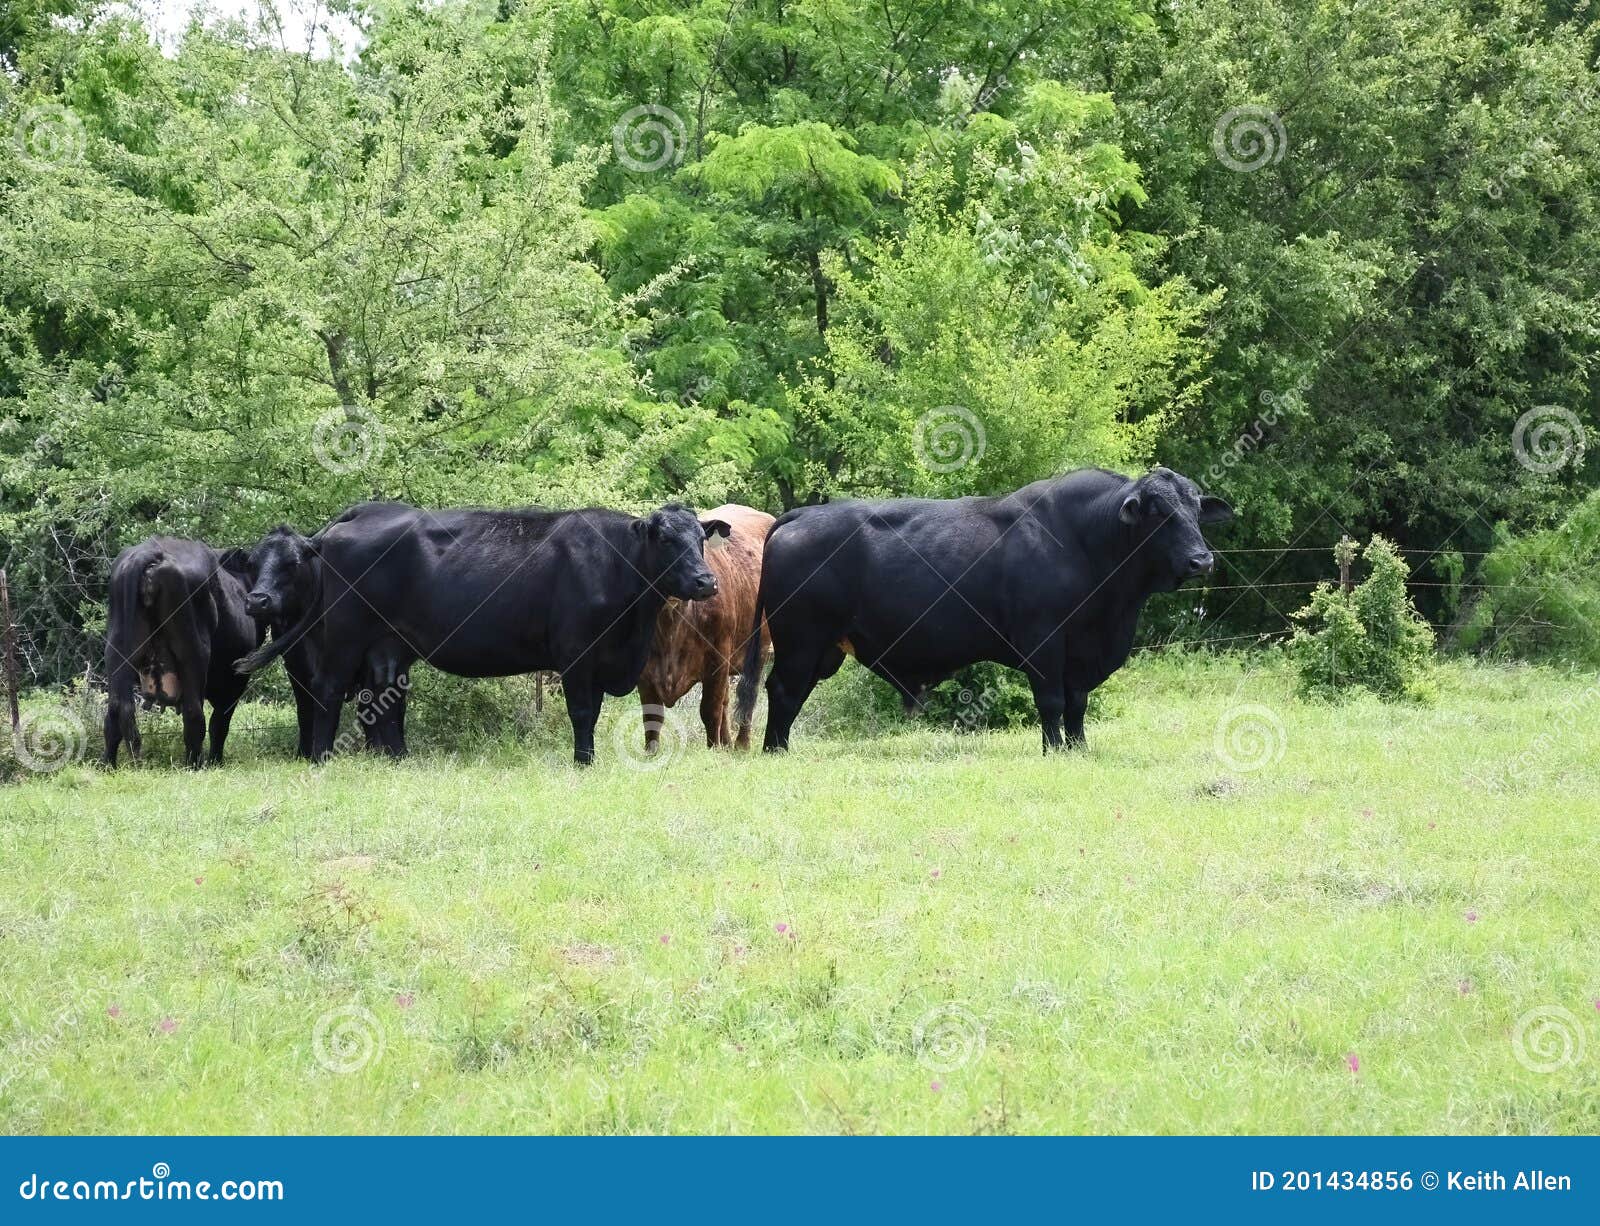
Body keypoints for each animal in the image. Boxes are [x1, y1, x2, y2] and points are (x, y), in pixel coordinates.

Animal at [102, 537, 263, 768]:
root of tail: (152, 553)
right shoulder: (235, 680)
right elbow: (219, 724)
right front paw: (216, 761)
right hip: (194, 655)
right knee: (194, 714)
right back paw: (195, 765)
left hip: (116, 654)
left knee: (115, 714)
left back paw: (108, 765)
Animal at [234, 501, 731, 764]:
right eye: (665, 539)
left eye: (700, 539)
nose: (706, 581)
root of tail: (363, 512)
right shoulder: (576, 654)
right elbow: (583, 712)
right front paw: (583, 762)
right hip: (345, 634)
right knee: (328, 689)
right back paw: (321, 757)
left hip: (388, 643)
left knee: (383, 698)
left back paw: (398, 758)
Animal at [636, 503, 774, 750]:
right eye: (664, 539)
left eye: (701, 539)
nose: (707, 582)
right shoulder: (645, 670)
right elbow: (652, 717)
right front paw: (651, 753)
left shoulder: (718, 657)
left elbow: (710, 710)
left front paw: (712, 749)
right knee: (727, 700)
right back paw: (726, 743)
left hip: (758, 650)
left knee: (748, 697)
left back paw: (741, 745)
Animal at [735, 466, 1232, 753]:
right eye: (1158, 512)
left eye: (1194, 508)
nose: (1201, 560)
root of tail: (800, 515)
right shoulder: (1044, 642)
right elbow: (1052, 701)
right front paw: (1054, 751)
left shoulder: (1081, 651)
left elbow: (1077, 703)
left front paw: (1078, 749)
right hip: (801, 642)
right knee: (783, 691)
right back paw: (775, 750)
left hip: (822, 649)